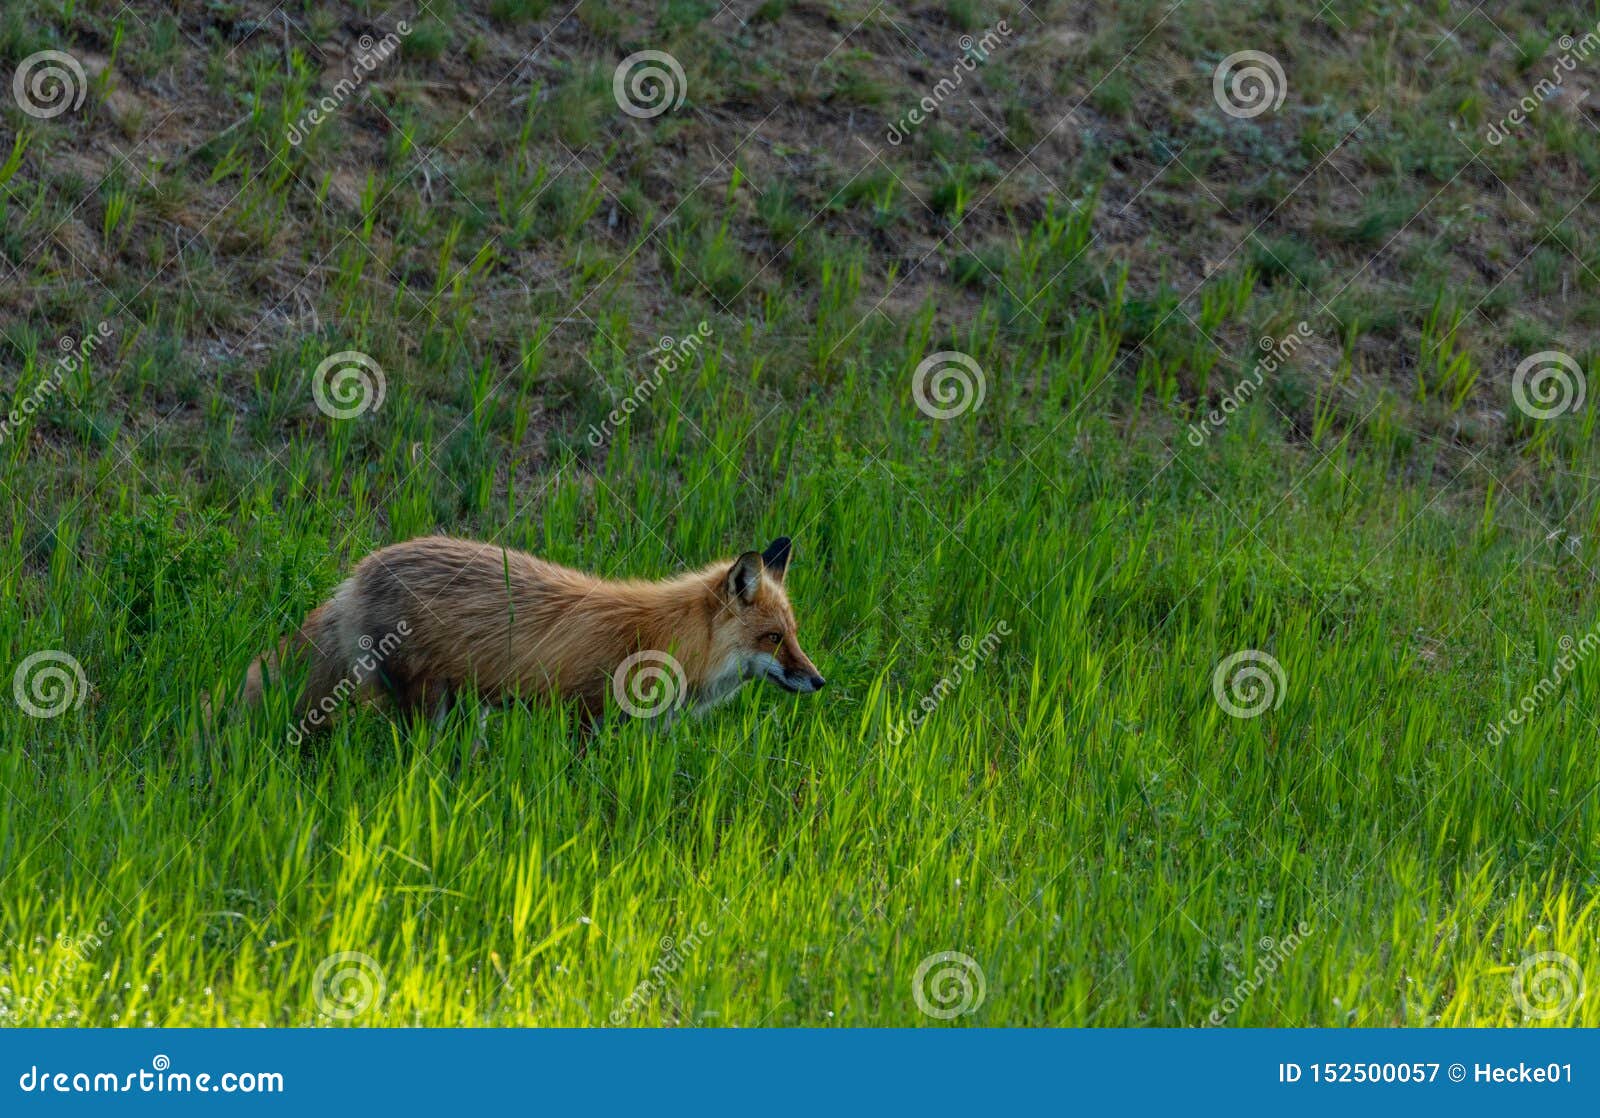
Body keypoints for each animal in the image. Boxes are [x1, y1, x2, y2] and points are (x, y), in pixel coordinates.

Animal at [239, 534, 824, 737]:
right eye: (773, 639)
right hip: (428, 707)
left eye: (793, 635)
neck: (667, 639)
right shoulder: (586, 718)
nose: (820, 681)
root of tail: (359, 573)